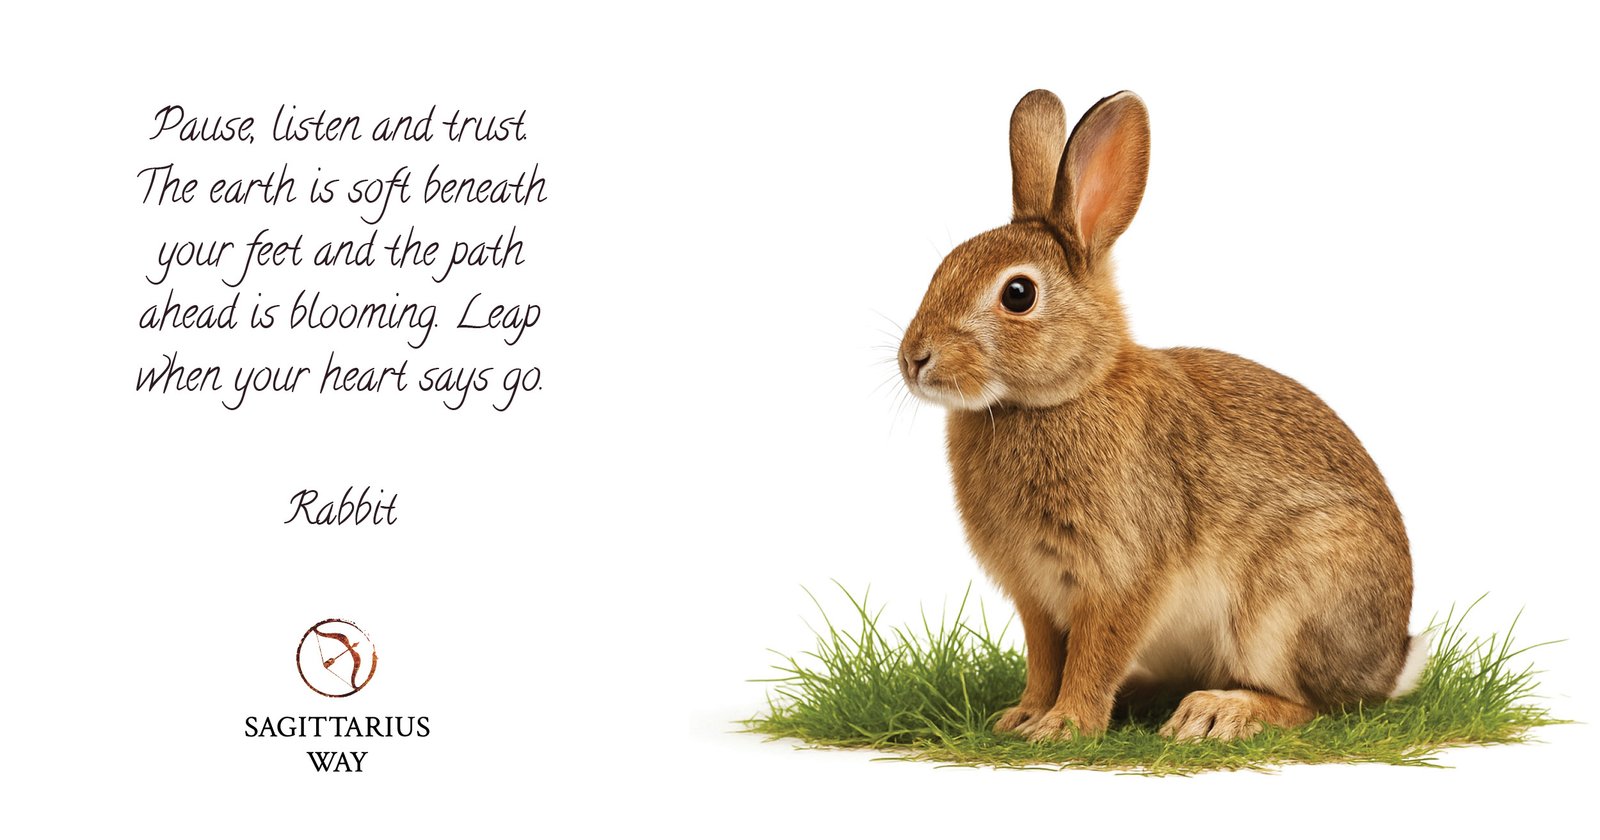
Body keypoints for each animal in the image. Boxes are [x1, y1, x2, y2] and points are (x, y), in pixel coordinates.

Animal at [897, 89, 1430, 741]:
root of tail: (1391, 665)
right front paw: (1021, 718)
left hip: (1284, 611)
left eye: (1018, 294)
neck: (1060, 396)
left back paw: (1216, 712)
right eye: (944, 266)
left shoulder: (1121, 576)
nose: (914, 358)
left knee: (1315, 706)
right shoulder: (1036, 595)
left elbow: (1094, 657)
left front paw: (1065, 726)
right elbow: (1046, 661)